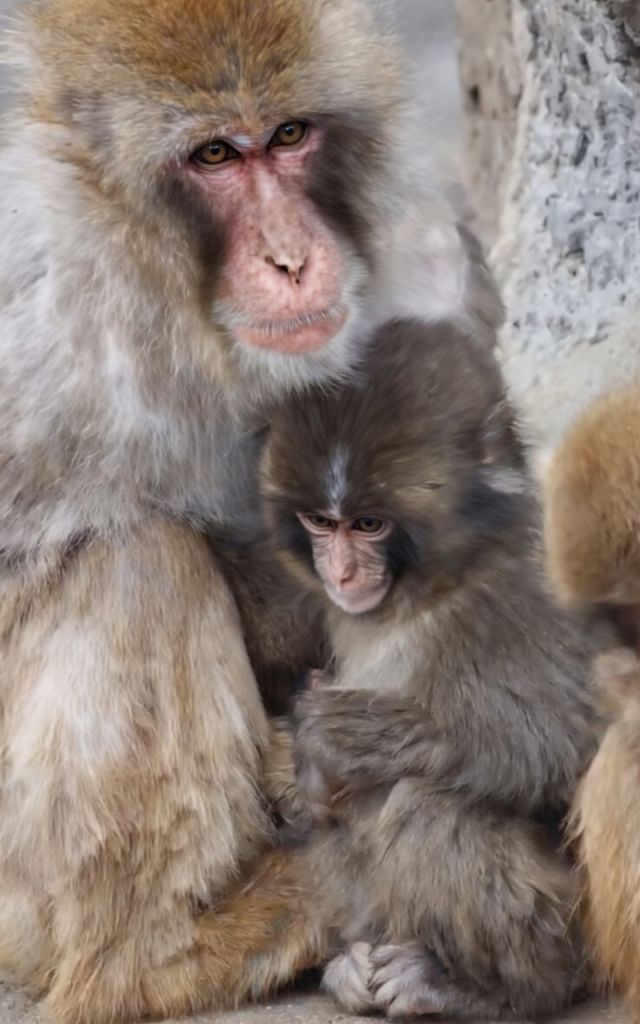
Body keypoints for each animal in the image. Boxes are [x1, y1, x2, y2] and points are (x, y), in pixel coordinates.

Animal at [0, 1, 508, 1021]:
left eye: (288, 136)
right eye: (213, 156)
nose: (293, 258)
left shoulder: (424, 260)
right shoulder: (41, 331)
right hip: (19, 911)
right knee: (139, 559)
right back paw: (171, 952)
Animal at [258, 317, 605, 1020]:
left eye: (369, 524)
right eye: (321, 522)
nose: (341, 574)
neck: (432, 584)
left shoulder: (523, 588)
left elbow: (567, 738)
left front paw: (341, 735)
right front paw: (307, 754)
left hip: (577, 919)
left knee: (429, 804)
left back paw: (486, 989)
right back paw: (351, 961)